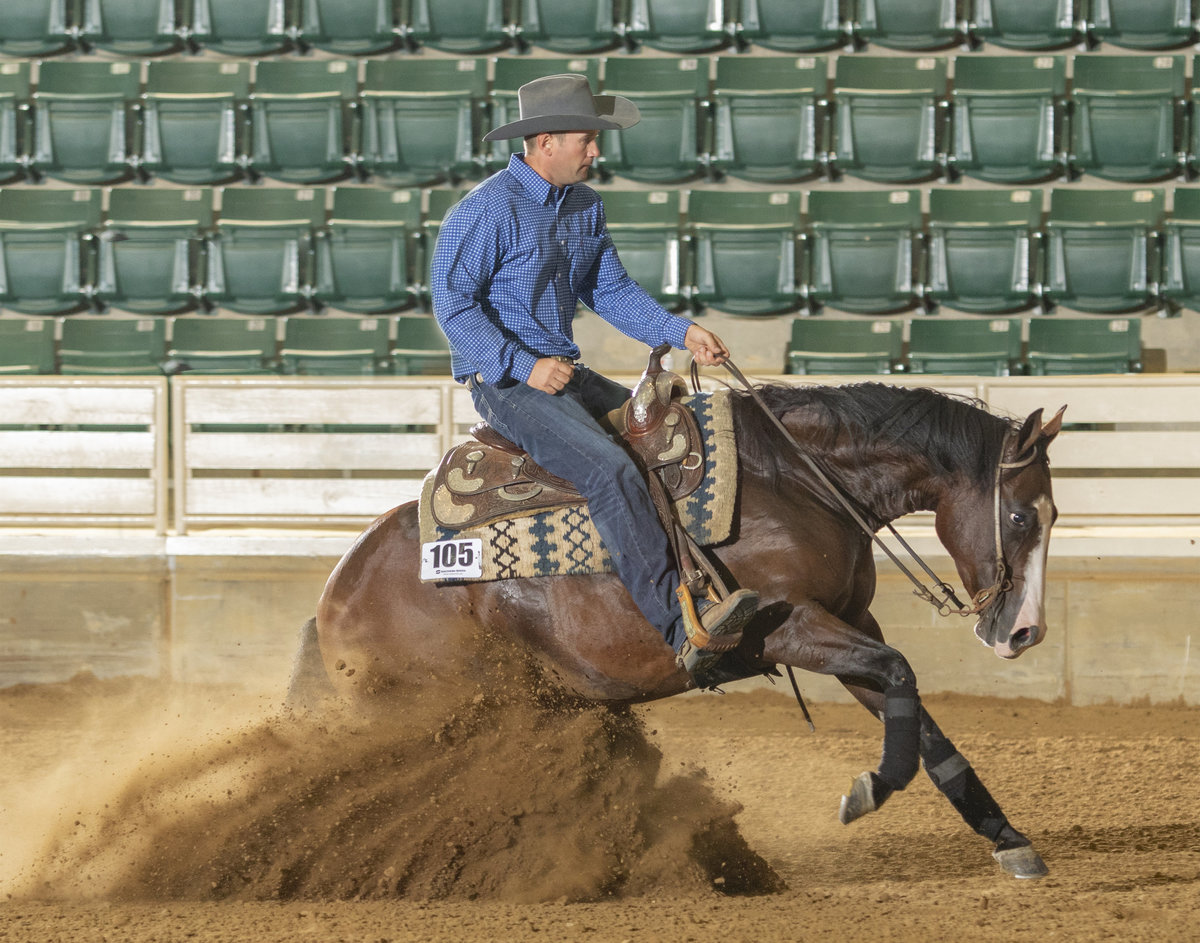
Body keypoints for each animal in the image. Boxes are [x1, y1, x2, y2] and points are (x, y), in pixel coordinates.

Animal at [294, 380, 1065, 880]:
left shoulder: (850, 622)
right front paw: (870, 788)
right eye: (1020, 515)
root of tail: (336, 594)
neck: (792, 479)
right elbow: (901, 671)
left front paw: (1009, 839)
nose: (1026, 633)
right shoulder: (785, 626)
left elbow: (918, 716)